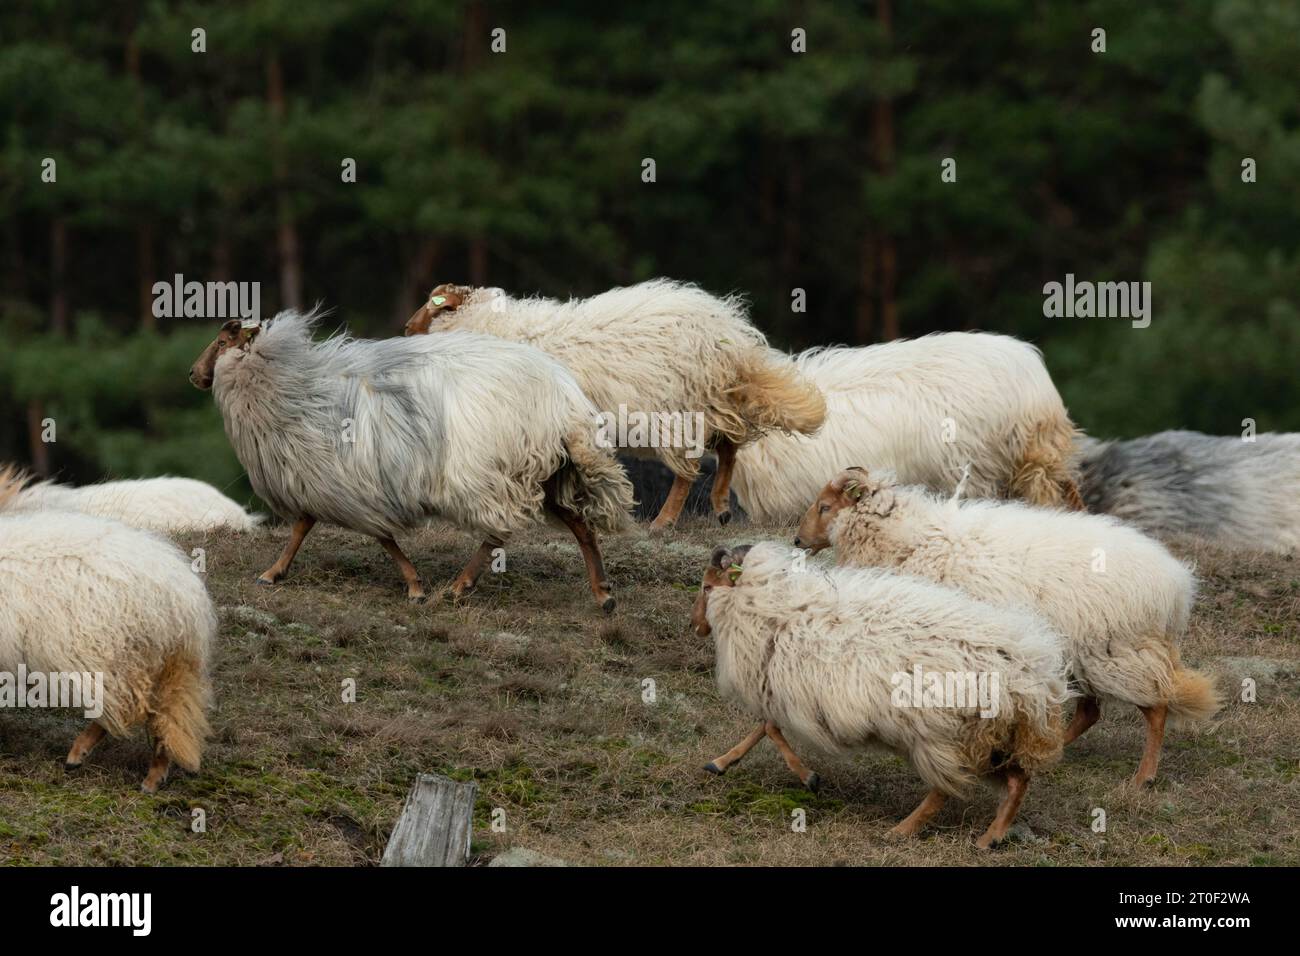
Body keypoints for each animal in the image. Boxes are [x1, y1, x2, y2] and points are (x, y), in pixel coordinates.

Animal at [0, 471, 215, 792]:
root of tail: (181, 598)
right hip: (153, 662)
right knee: (163, 713)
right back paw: (155, 773)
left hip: (106, 655)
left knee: (131, 710)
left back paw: (85, 757)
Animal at [189, 310, 634, 611]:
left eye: (223, 342)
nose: (193, 374)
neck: (289, 385)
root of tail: (565, 399)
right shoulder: (337, 483)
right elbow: (312, 527)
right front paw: (275, 572)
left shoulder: (342, 484)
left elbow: (361, 534)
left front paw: (415, 586)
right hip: (546, 472)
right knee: (579, 525)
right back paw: (603, 594)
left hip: (490, 474)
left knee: (500, 531)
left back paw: (459, 587)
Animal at [403, 279, 826, 528]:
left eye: (433, 305)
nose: (406, 328)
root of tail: (730, 337)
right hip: (708, 403)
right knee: (730, 446)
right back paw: (721, 507)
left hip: (676, 412)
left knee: (690, 467)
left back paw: (663, 523)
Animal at [692, 542, 1069, 848]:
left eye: (707, 586)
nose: (697, 626)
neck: (769, 607)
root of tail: (1031, 673)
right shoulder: (783, 690)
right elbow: (762, 728)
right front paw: (720, 763)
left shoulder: (784, 691)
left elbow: (769, 728)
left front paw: (808, 777)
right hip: (988, 739)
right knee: (1017, 780)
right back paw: (992, 837)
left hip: (945, 735)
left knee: (944, 790)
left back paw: (903, 831)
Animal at [797, 467, 1223, 785]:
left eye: (825, 506)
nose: (798, 540)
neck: (907, 541)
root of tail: (1176, 585)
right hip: (1088, 653)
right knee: (1092, 711)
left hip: (1115, 650)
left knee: (1156, 707)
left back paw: (1142, 777)